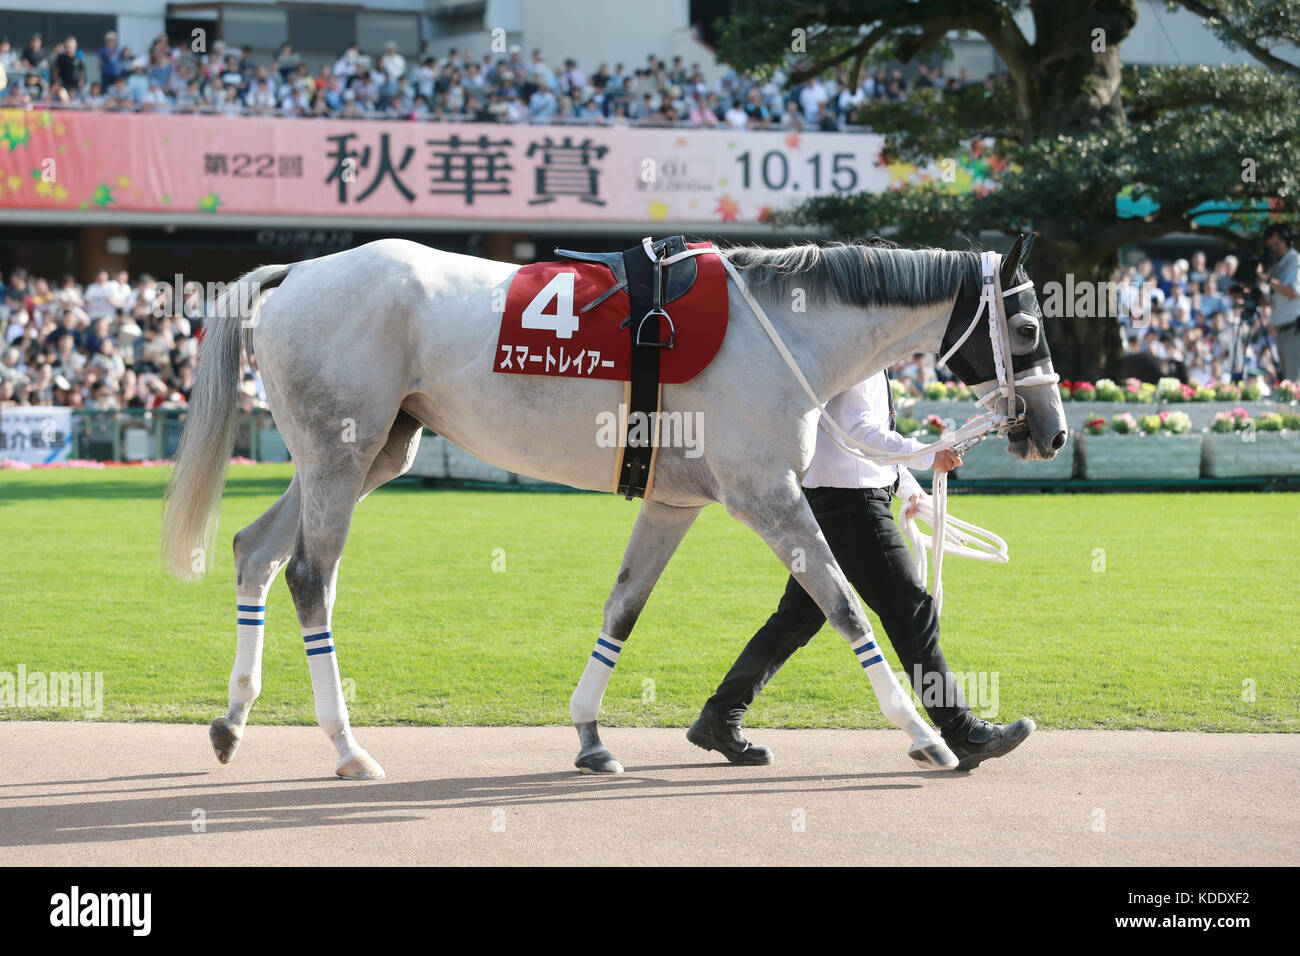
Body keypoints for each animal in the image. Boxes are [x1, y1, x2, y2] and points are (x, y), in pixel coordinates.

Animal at [161, 234, 1067, 779]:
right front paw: (925, 735)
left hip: (370, 453)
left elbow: (624, 609)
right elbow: (844, 604)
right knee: (309, 576)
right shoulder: (767, 494)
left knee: (254, 550)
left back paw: (232, 721)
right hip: (340, 455)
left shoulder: (672, 501)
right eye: (1025, 328)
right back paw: (347, 747)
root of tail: (298, 271)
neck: (780, 331)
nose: (1052, 430)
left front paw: (591, 735)